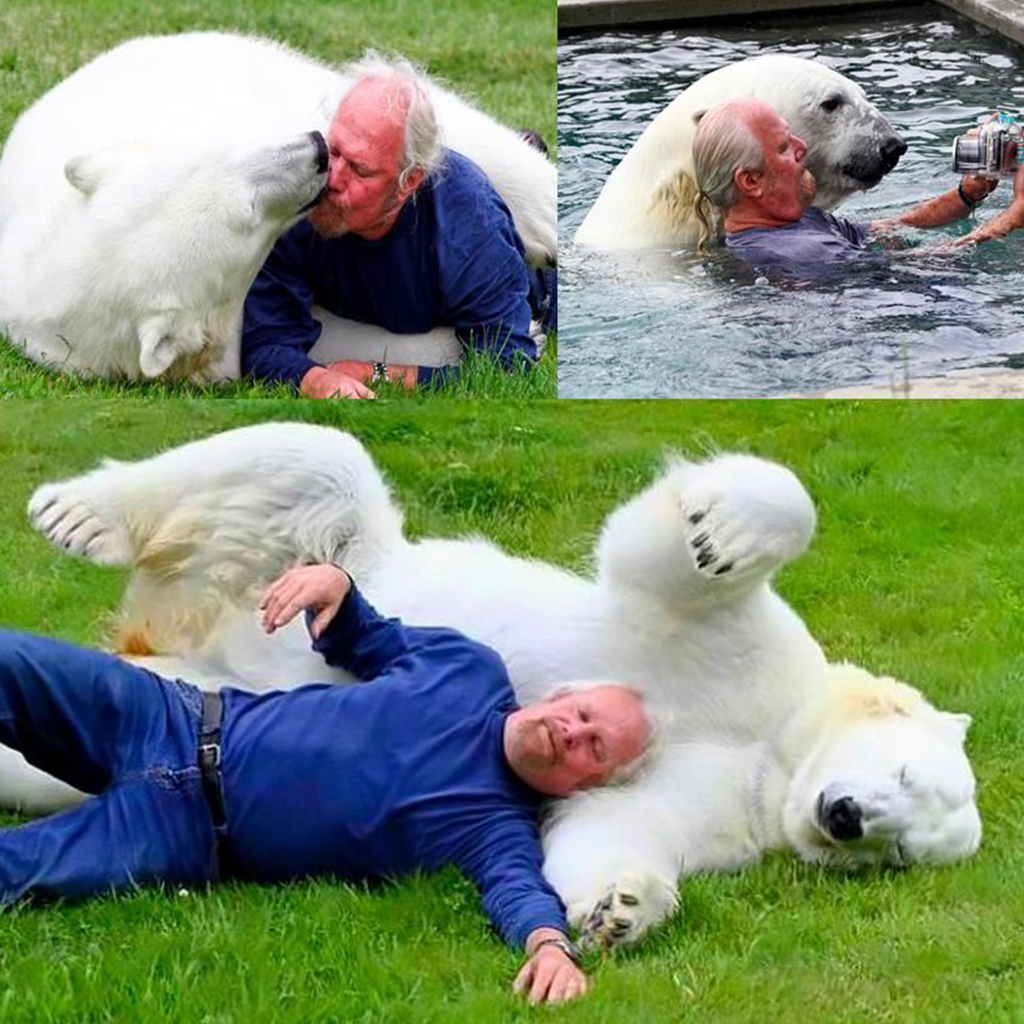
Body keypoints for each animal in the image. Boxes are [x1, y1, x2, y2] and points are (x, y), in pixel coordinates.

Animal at [13, 423, 981, 949]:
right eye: (902, 773)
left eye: (898, 854)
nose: (846, 816)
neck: (777, 741)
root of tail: (191, 638)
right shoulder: (735, 650)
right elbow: (663, 554)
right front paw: (725, 532)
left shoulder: (735, 801)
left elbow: (613, 826)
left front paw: (623, 906)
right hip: (291, 566)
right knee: (311, 460)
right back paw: (79, 512)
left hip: (180, 682)